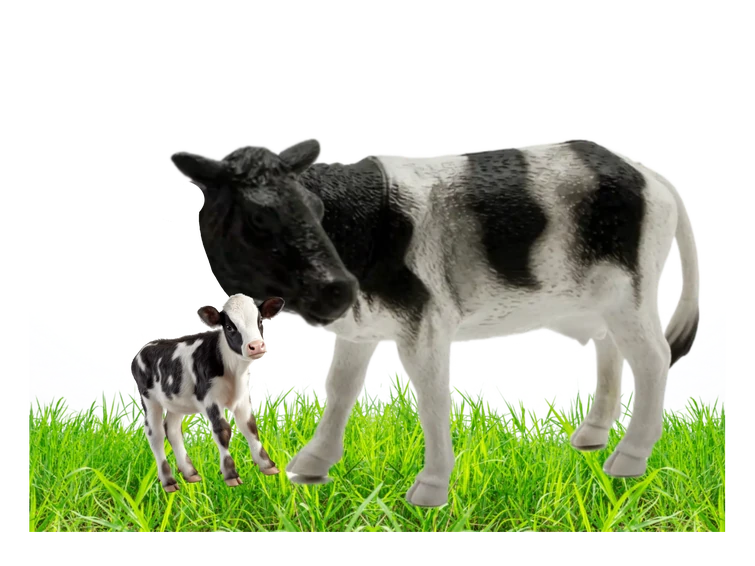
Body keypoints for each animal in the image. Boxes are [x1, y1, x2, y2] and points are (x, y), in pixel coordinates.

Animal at [130, 294, 285, 491]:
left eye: (260, 321)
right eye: (229, 327)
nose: (256, 346)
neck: (233, 371)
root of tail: (143, 349)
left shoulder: (242, 398)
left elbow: (250, 427)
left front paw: (267, 465)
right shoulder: (210, 399)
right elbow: (223, 431)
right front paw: (230, 474)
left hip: (175, 402)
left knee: (172, 430)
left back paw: (190, 473)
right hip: (149, 400)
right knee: (155, 434)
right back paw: (168, 481)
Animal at [169, 137, 701, 507]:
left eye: (317, 211)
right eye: (259, 220)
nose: (338, 287)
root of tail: (649, 175)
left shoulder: (423, 323)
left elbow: (431, 401)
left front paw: (431, 486)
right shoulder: (360, 327)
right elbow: (340, 390)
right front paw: (314, 463)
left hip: (631, 294)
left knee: (653, 361)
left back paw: (629, 456)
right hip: (600, 301)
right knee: (610, 349)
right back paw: (592, 433)